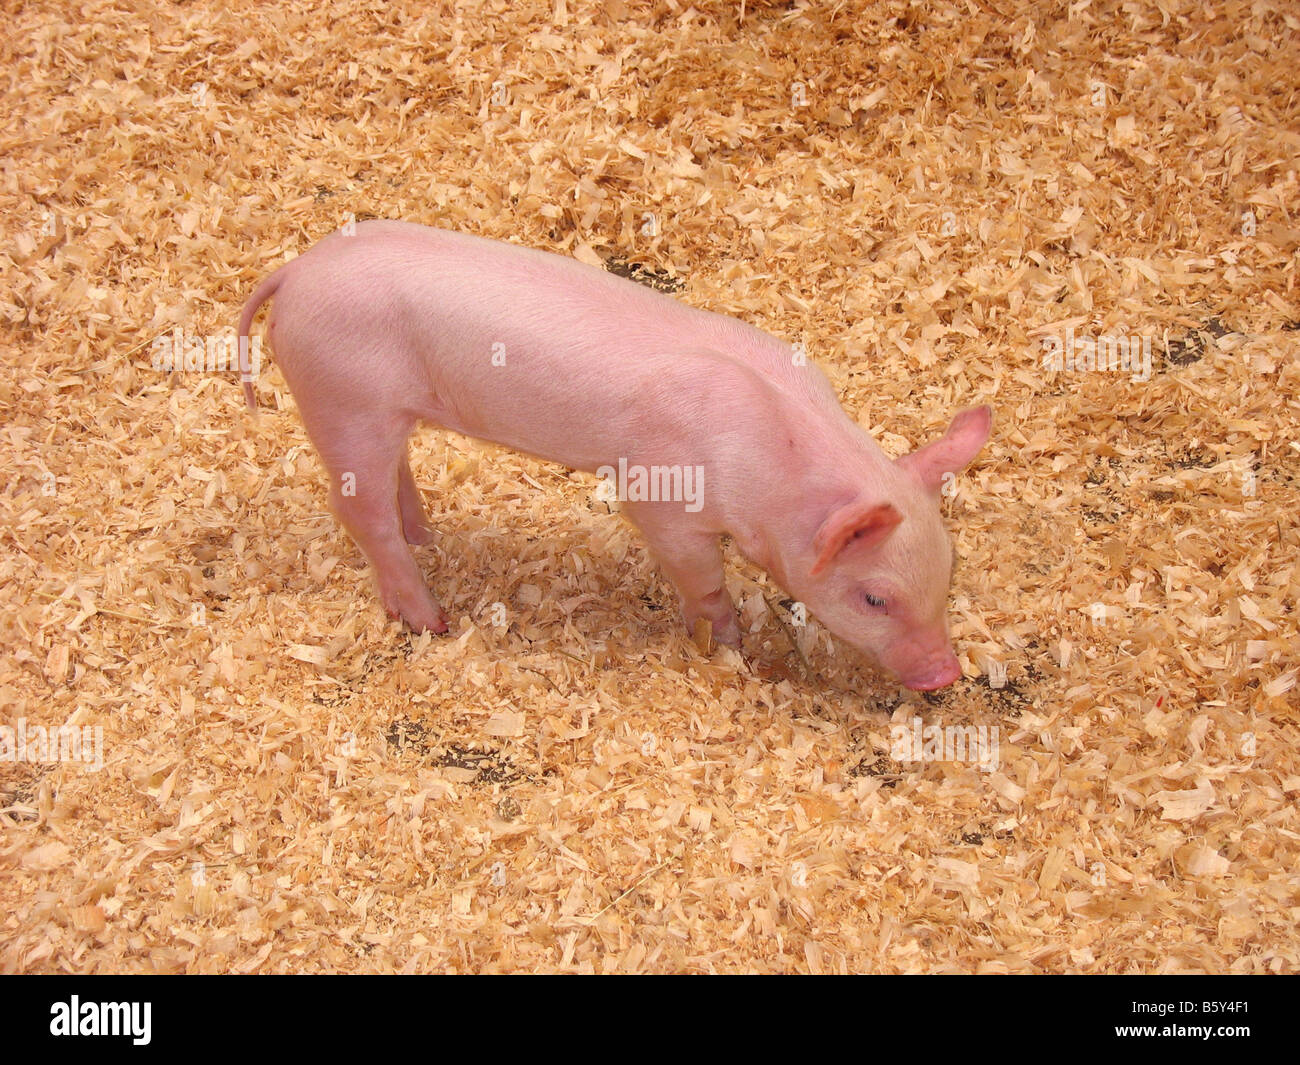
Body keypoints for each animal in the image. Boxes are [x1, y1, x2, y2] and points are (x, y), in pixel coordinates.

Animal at [238, 221, 991, 690]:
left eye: (948, 572)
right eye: (874, 596)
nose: (945, 673)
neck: (774, 463)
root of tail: (295, 272)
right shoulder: (661, 496)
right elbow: (702, 580)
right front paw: (727, 644)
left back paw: (430, 538)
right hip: (343, 399)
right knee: (354, 508)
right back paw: (431, 618)